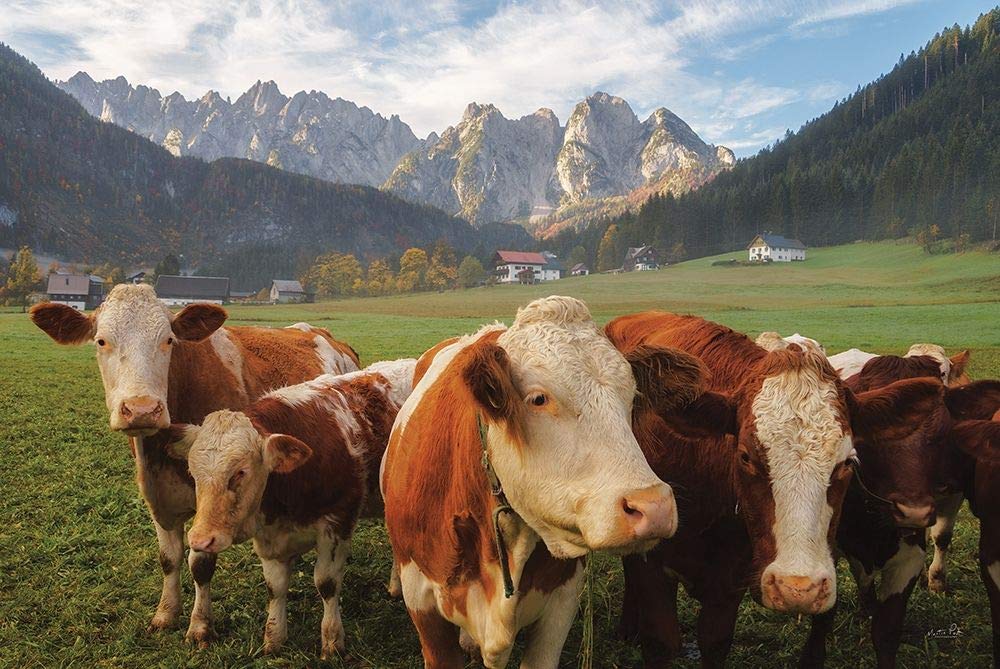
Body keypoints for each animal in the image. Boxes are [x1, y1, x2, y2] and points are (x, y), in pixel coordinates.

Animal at [29, 283, 360, 644]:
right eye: (101, 341)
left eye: (169, 340)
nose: (142, 409)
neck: (160, 454)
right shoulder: (158, 499)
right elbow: (168, 559)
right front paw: (165, 614)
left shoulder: (212, 498)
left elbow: (199, 565)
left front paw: (200, 625)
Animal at [165, 359, 414, 657]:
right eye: (192, 473)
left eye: (240, 472)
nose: (201, 539)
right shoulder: (270, 536)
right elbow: (275, 586)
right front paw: (274, 638)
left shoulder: (337, 521)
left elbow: (327, 583)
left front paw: (332, 641)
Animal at [604, 312, 943, 668]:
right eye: (745, 456)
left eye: (847, 462)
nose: (799, 588)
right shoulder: (650, 565)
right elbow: (659, 640)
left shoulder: (732, 578)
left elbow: (714, 640)